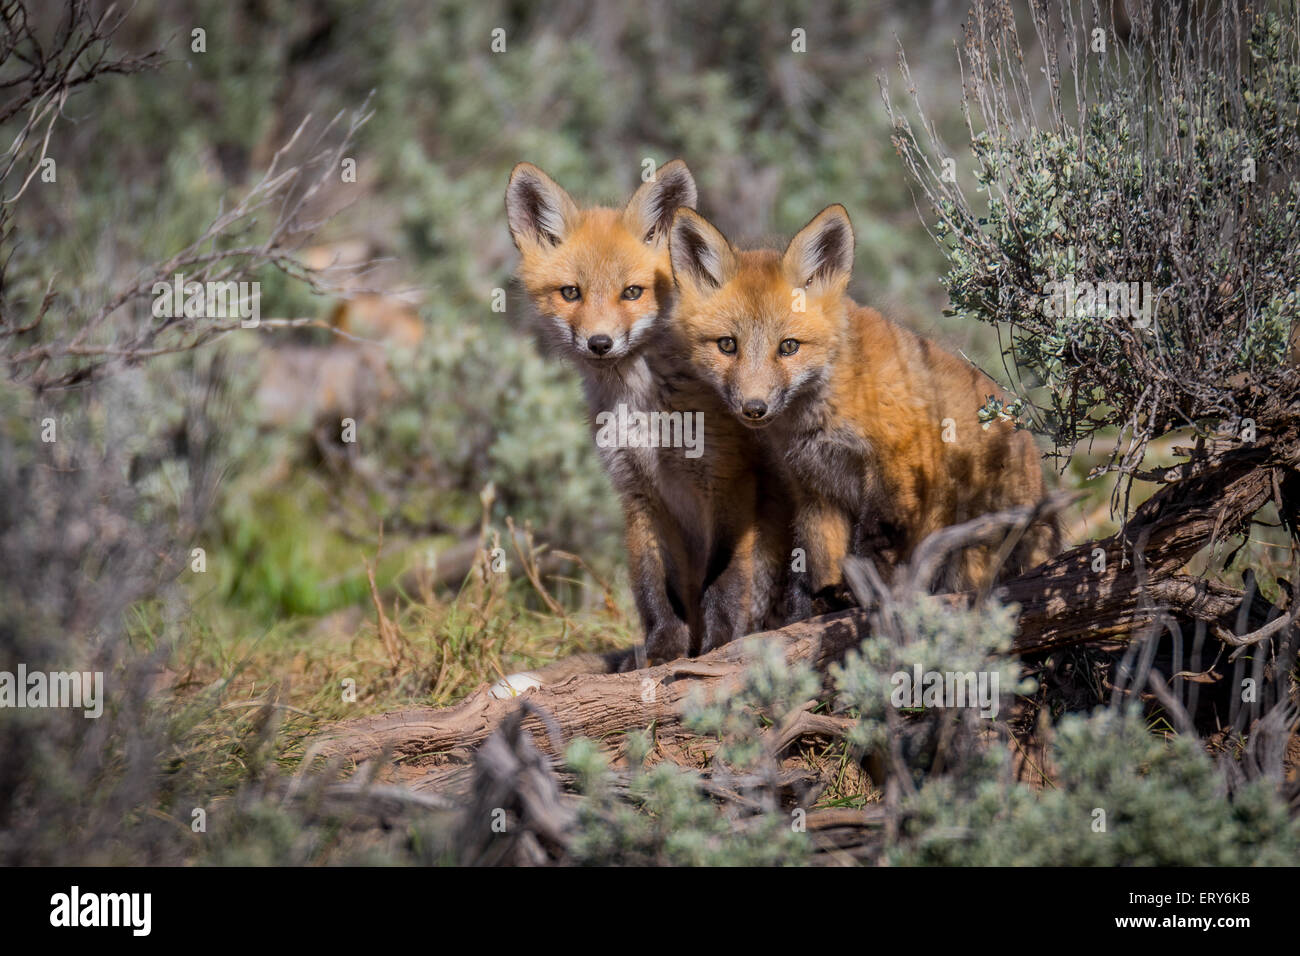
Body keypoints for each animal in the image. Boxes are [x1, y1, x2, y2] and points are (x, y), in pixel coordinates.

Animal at [504, 160, 790, 667]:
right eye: (571, 293)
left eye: (632, 292)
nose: (600, 343)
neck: (643, 410)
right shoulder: (638, 492)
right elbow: (653, 585)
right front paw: (662, 652)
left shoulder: (728, 481)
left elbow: (724, 581)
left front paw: (718, 644)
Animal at [666, 202, 1059, 619]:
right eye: (727, 345)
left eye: (789, 347)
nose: (754, 408)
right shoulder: (815, 489)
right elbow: (817, 559)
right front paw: (812, 609)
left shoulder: (899, 467)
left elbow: (873, 547)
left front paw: (861, 600)